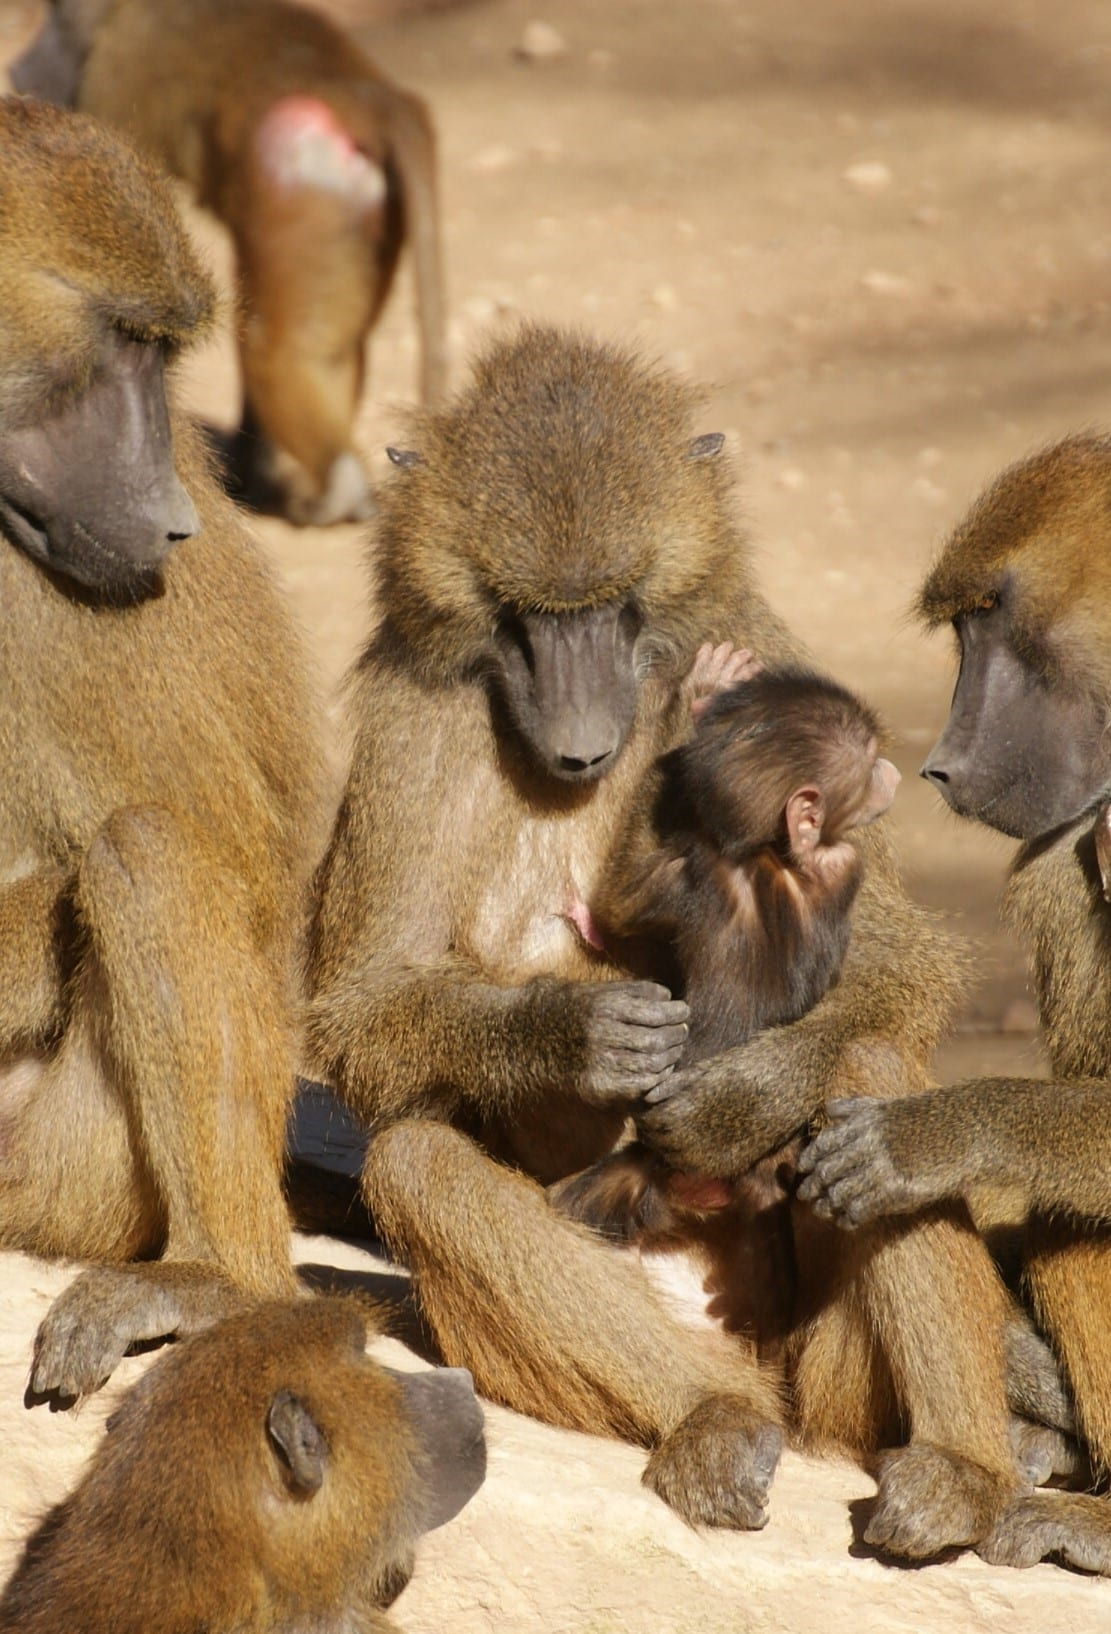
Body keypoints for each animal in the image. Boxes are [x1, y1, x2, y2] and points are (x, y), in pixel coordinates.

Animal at [0, 96, 328, 1399]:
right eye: (122, 344)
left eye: (163, 351)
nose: (173, 521)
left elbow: (232, 855)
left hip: (69, 1173)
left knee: (149, 847)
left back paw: (211, 1281)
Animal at [12, 0, 446, 526]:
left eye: (56, 14)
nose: (20, 68)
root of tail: (366, 98)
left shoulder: (114, 74)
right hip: (363, 216)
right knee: (330, 348)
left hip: (303, 186)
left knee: (272, 347)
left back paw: (337, 492)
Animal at [550, 664, 899, 1363]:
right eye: (869, 764)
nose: (893, 773)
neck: (781, 858)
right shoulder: (843, 861)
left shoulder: (691, 868)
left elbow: (616, 904)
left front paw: (693, 703)